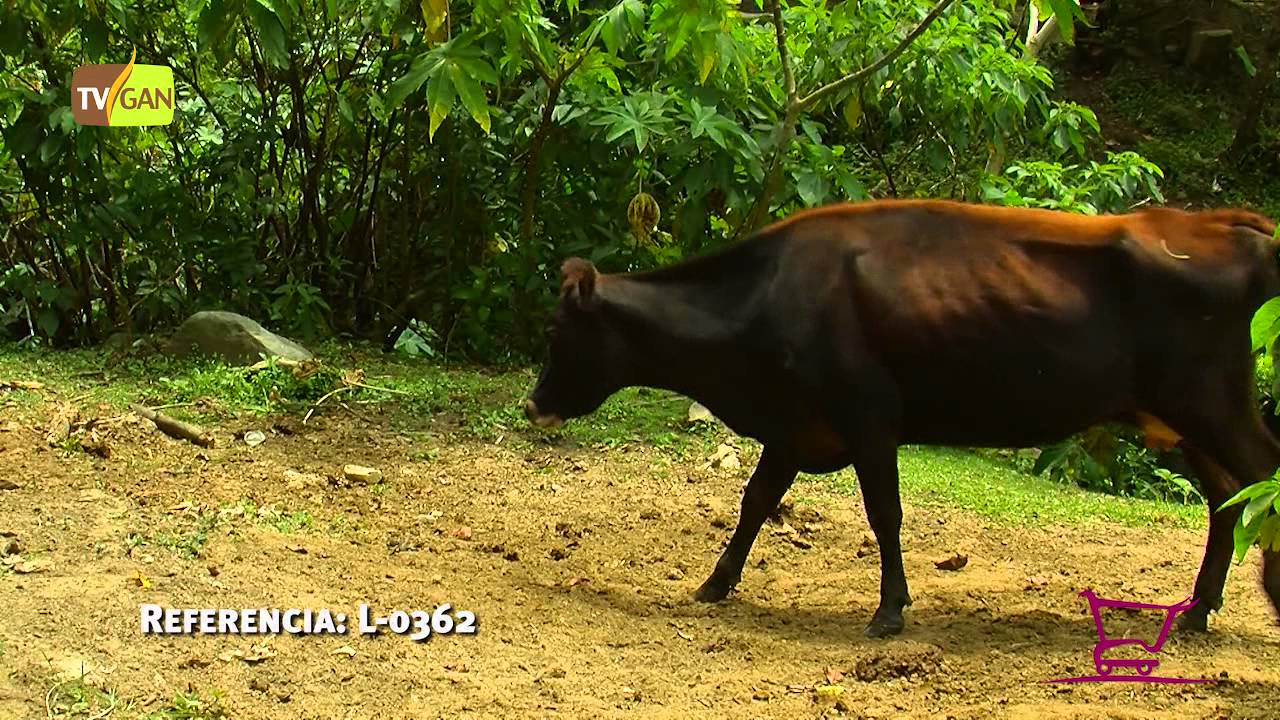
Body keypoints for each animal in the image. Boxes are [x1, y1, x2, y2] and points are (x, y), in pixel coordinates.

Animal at [523, 198, 1280, 638]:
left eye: (556, 332)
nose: (532, 404)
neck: (762, 299)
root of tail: (1221, 223)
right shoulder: (795, 428)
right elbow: (755, 502)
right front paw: (715, 583)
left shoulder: (869, 417)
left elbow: (884, 513)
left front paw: (889, 610)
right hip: (1182, 420)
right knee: (1228, 500)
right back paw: (1198, 611)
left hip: (1212, 403)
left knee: (1261, 480)